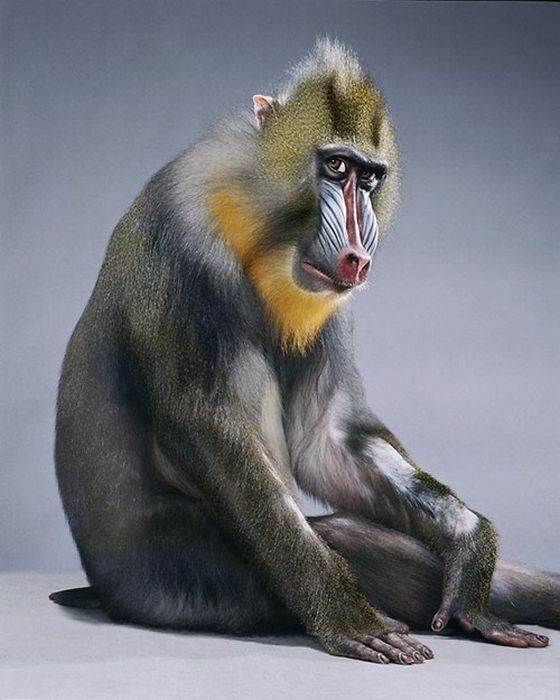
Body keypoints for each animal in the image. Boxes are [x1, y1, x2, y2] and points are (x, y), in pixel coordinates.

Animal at [50, 39, 559, 665]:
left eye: (370, 178)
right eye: (336, 167)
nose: (358, 257)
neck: (251, 221)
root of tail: (102, 588)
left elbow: (328, 438)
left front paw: (469, 544)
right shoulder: (182, 243)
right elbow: (212, 429)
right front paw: (347, 616)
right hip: (168, 576)